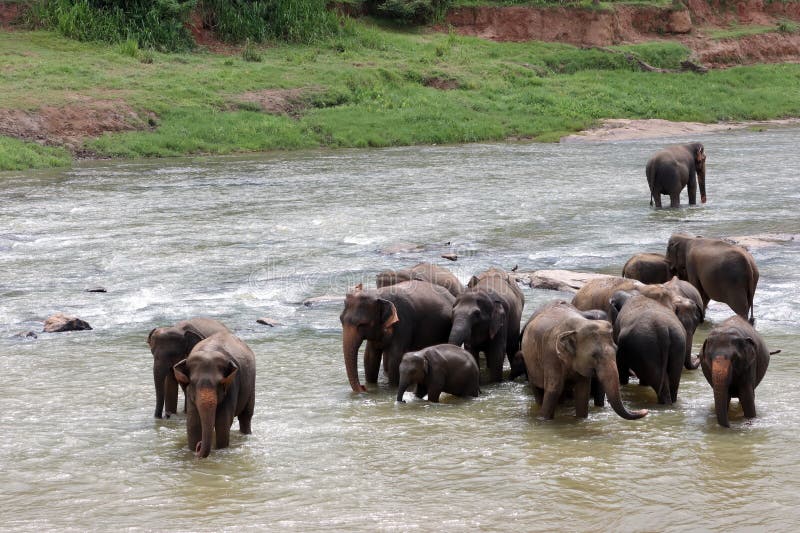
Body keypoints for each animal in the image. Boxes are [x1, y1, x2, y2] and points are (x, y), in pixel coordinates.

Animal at [519, 300, 648, 421]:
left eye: (616, 350)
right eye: (594, 355)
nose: (645, 410)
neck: (579, 325)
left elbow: (583, 393)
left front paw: (581, 420)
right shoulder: (551, 355)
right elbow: (553, 390)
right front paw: (543, 420)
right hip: (529, 364)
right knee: (538, 390)